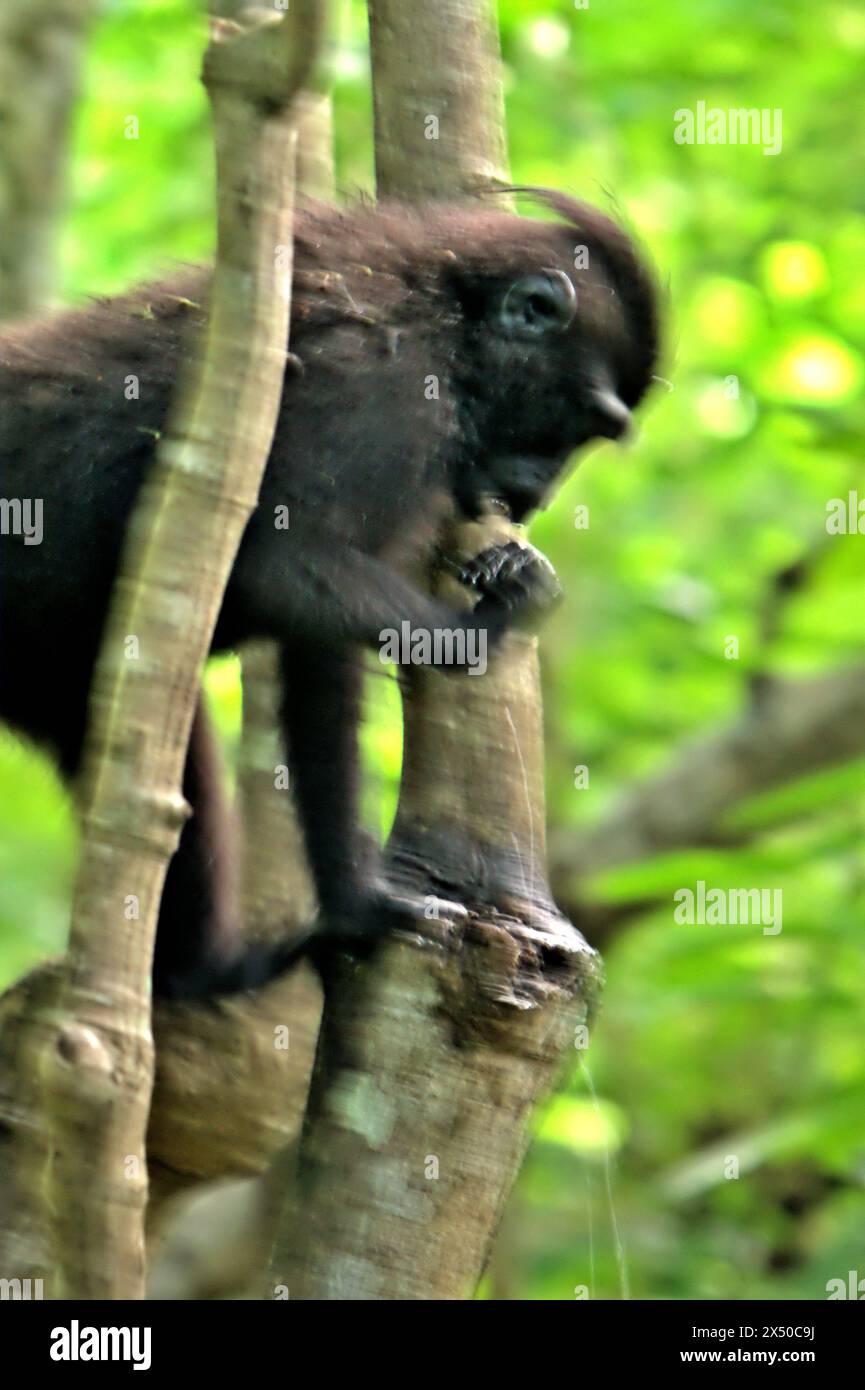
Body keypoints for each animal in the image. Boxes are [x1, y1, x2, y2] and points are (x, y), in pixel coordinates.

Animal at [0, 190, 658, 997]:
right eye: (587, 421)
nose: (536, 496)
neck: (452, 316)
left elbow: (319, 658)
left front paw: (355, 902)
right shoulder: (384, 381)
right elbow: (280, 564)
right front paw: (492, 625)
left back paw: (193, 976)